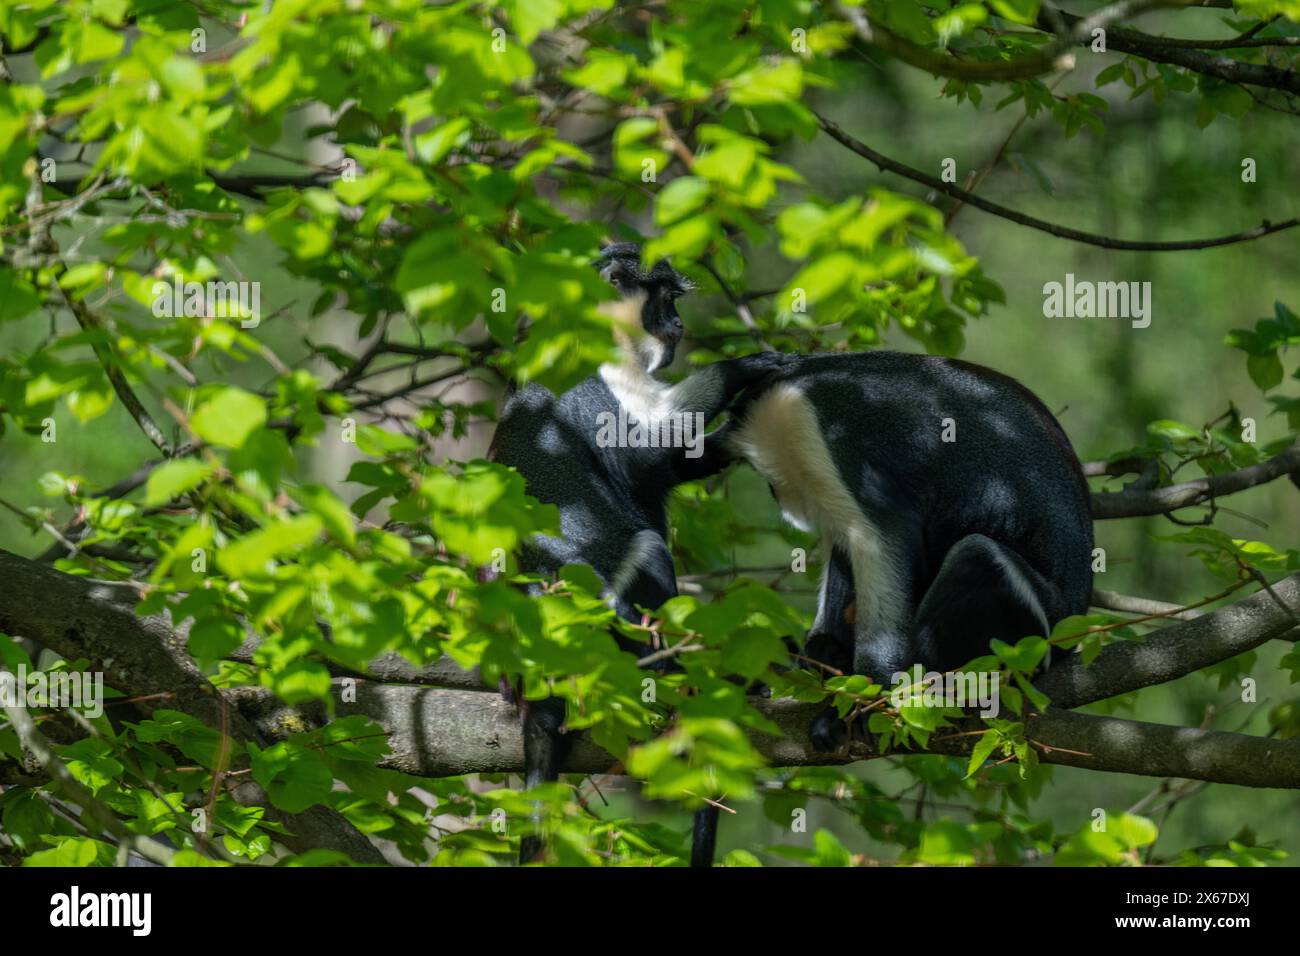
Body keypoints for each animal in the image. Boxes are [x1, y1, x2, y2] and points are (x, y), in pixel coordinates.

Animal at [487, 242, 791, 864]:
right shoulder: (592, 371)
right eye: (666, 298)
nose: (677, 327)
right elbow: (642, 460)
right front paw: (741, 370)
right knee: (645, 550)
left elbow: (663, 473)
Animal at [724, 351, 1093, 750]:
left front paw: (869, 695)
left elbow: (882, 535)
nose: (777, 494)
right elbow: (843, 539)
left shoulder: (831, 442)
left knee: (979, 556)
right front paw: (820, 652)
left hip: (1033, 634)